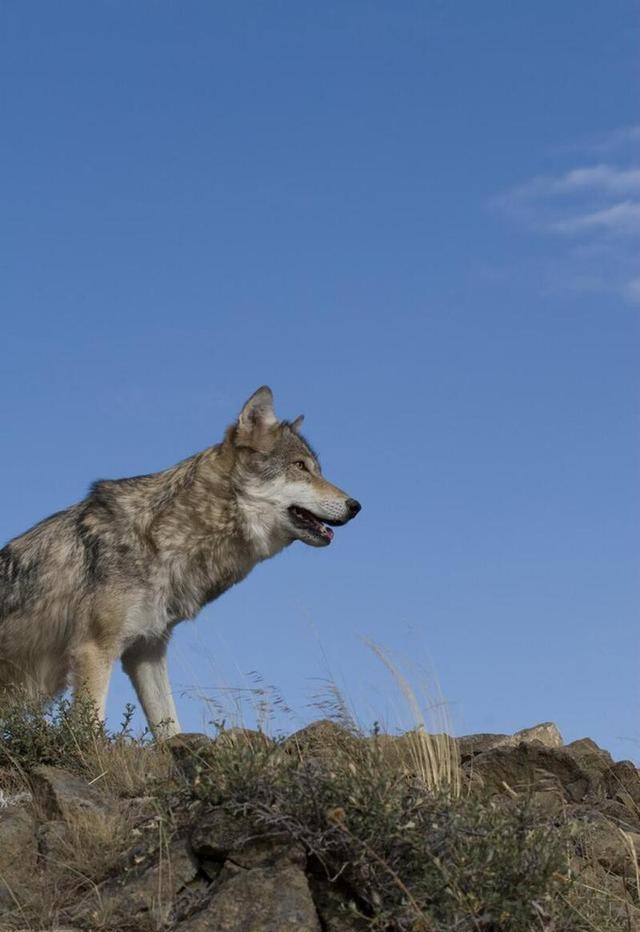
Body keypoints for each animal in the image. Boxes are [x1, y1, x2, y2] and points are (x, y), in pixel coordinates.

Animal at [0, 387, 361, 737]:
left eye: (317, 469)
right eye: (301, 467)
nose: (356, 505)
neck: (161, 539)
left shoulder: (146, 651)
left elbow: (169, 727)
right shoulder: (94, 649)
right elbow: (91, 731)